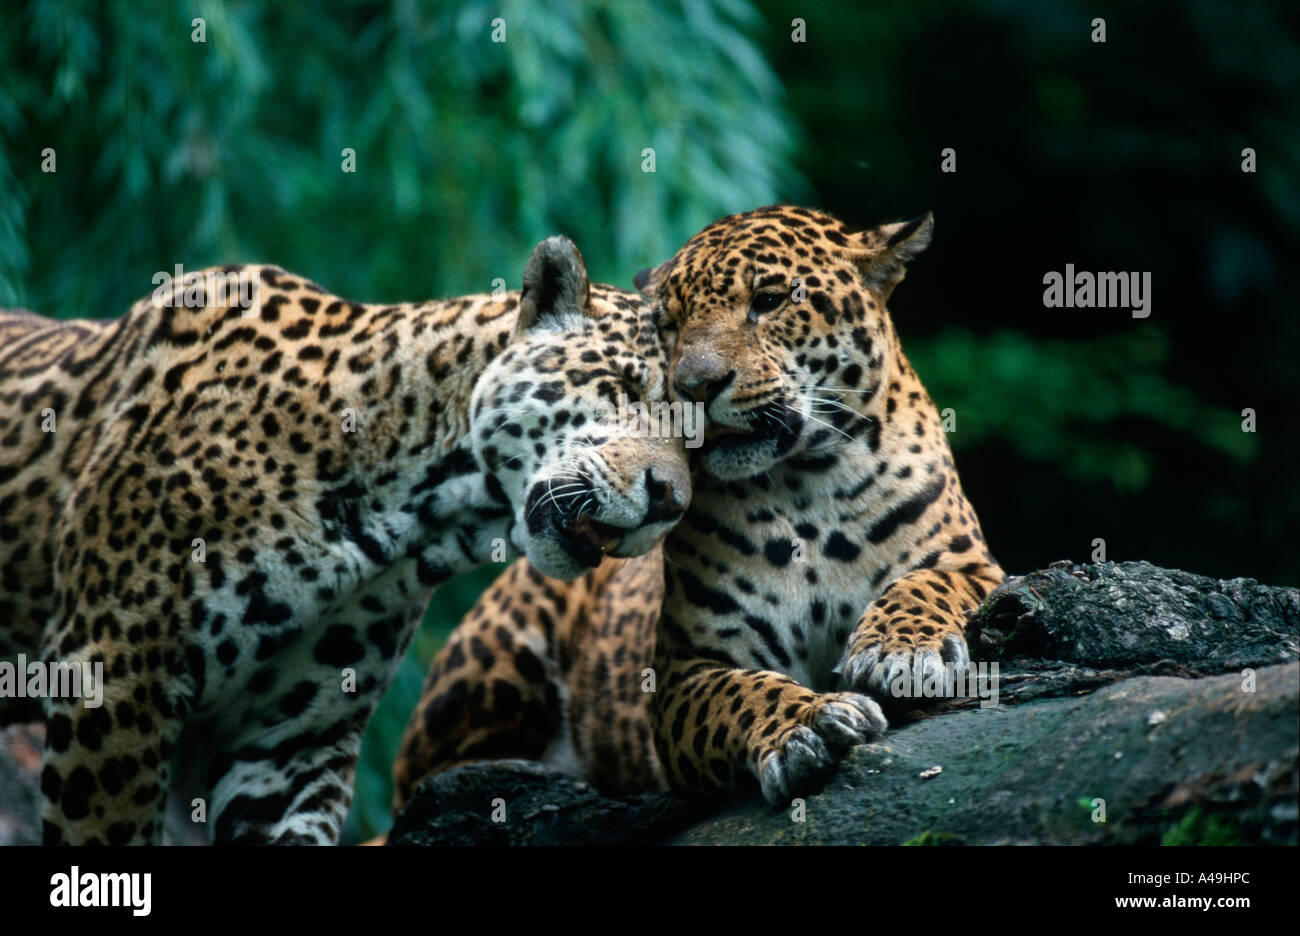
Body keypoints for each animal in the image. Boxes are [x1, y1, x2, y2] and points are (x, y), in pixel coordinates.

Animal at [390, 206, 1004, 816]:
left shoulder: (976, 566)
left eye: (769, 300)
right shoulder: (685, 670)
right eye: (670, 323)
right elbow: (741, 693)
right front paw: (808, 723)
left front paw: (900, 649)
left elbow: (925, 583)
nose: (695, 385)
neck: (808, 487)